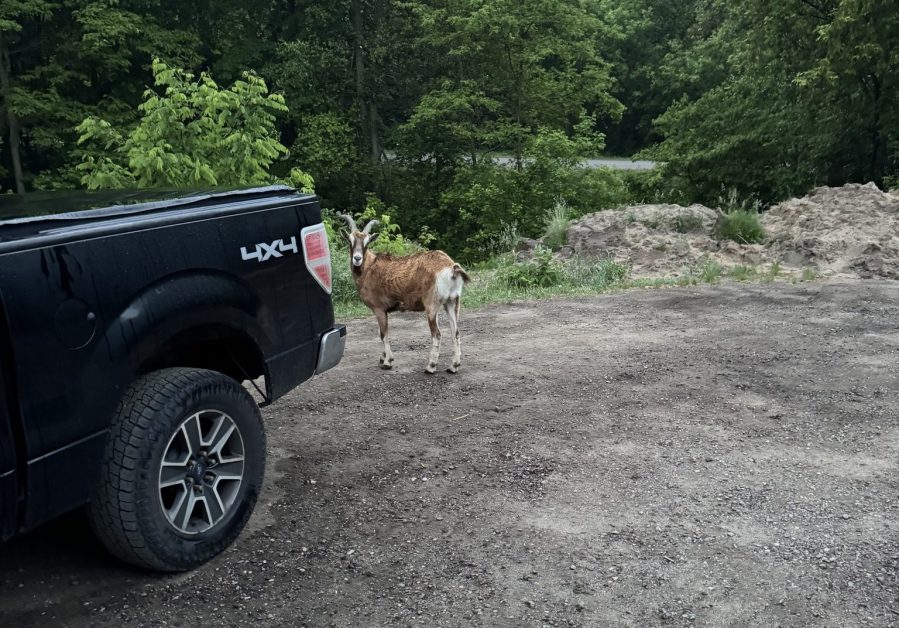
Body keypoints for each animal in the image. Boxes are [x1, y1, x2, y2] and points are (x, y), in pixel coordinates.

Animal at [339, 213, 471, 374]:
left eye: (367, 242)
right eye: (350, 240)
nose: (357, 258)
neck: (369, 268)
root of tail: (451, 268)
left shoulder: (379, 308)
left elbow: (383, 334)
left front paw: (387, 362)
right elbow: (381, 332)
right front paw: (383, 358)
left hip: (431, 305)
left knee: (437, 334)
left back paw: (430, 367)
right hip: (452, 302)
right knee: (455, 332)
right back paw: (453, 366)